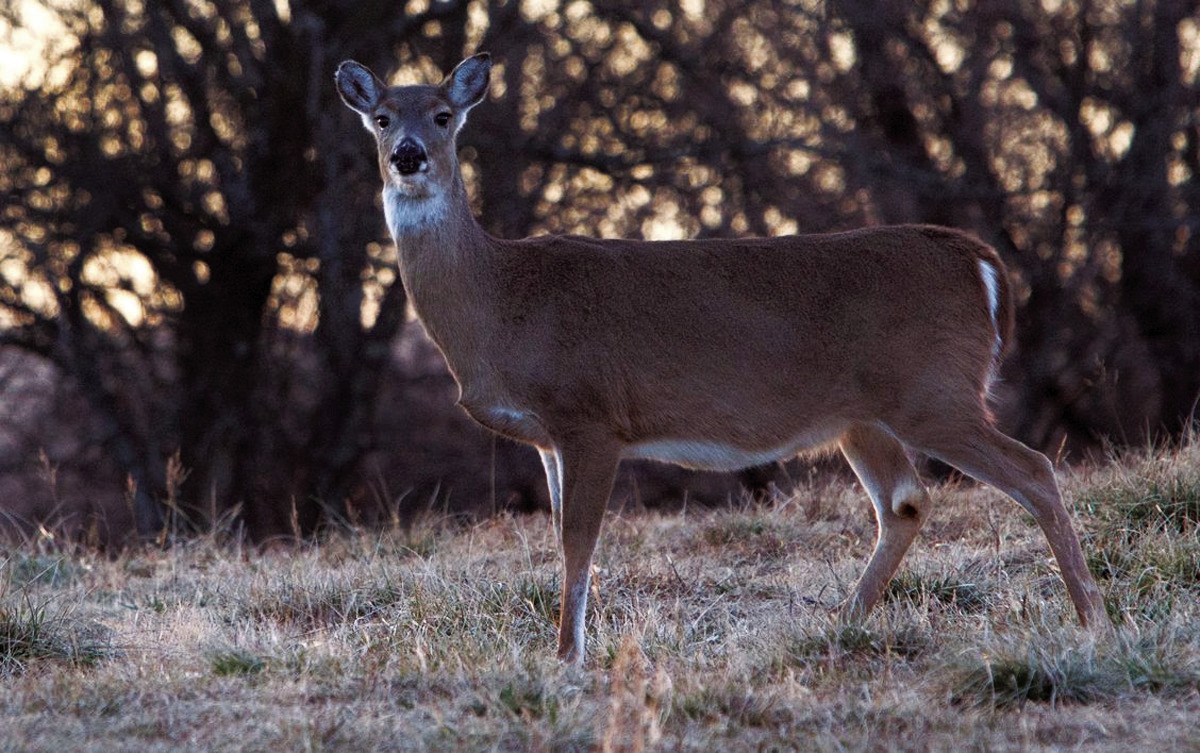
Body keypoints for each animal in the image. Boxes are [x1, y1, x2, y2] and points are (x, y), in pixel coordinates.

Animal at [335, 53, 1107, 665]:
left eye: (443, 115)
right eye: (380, 117)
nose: (408, 154)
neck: (501, 301)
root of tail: (980, 263)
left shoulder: (592, 416)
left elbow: (579, 540)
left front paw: (567, 657)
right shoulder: (548, 436)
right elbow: (560, 534)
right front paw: (569, 650)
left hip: (932, 390)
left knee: (1033, 470)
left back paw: (1094, 618)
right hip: (865, 415)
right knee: (907, 501)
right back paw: (841, 625)